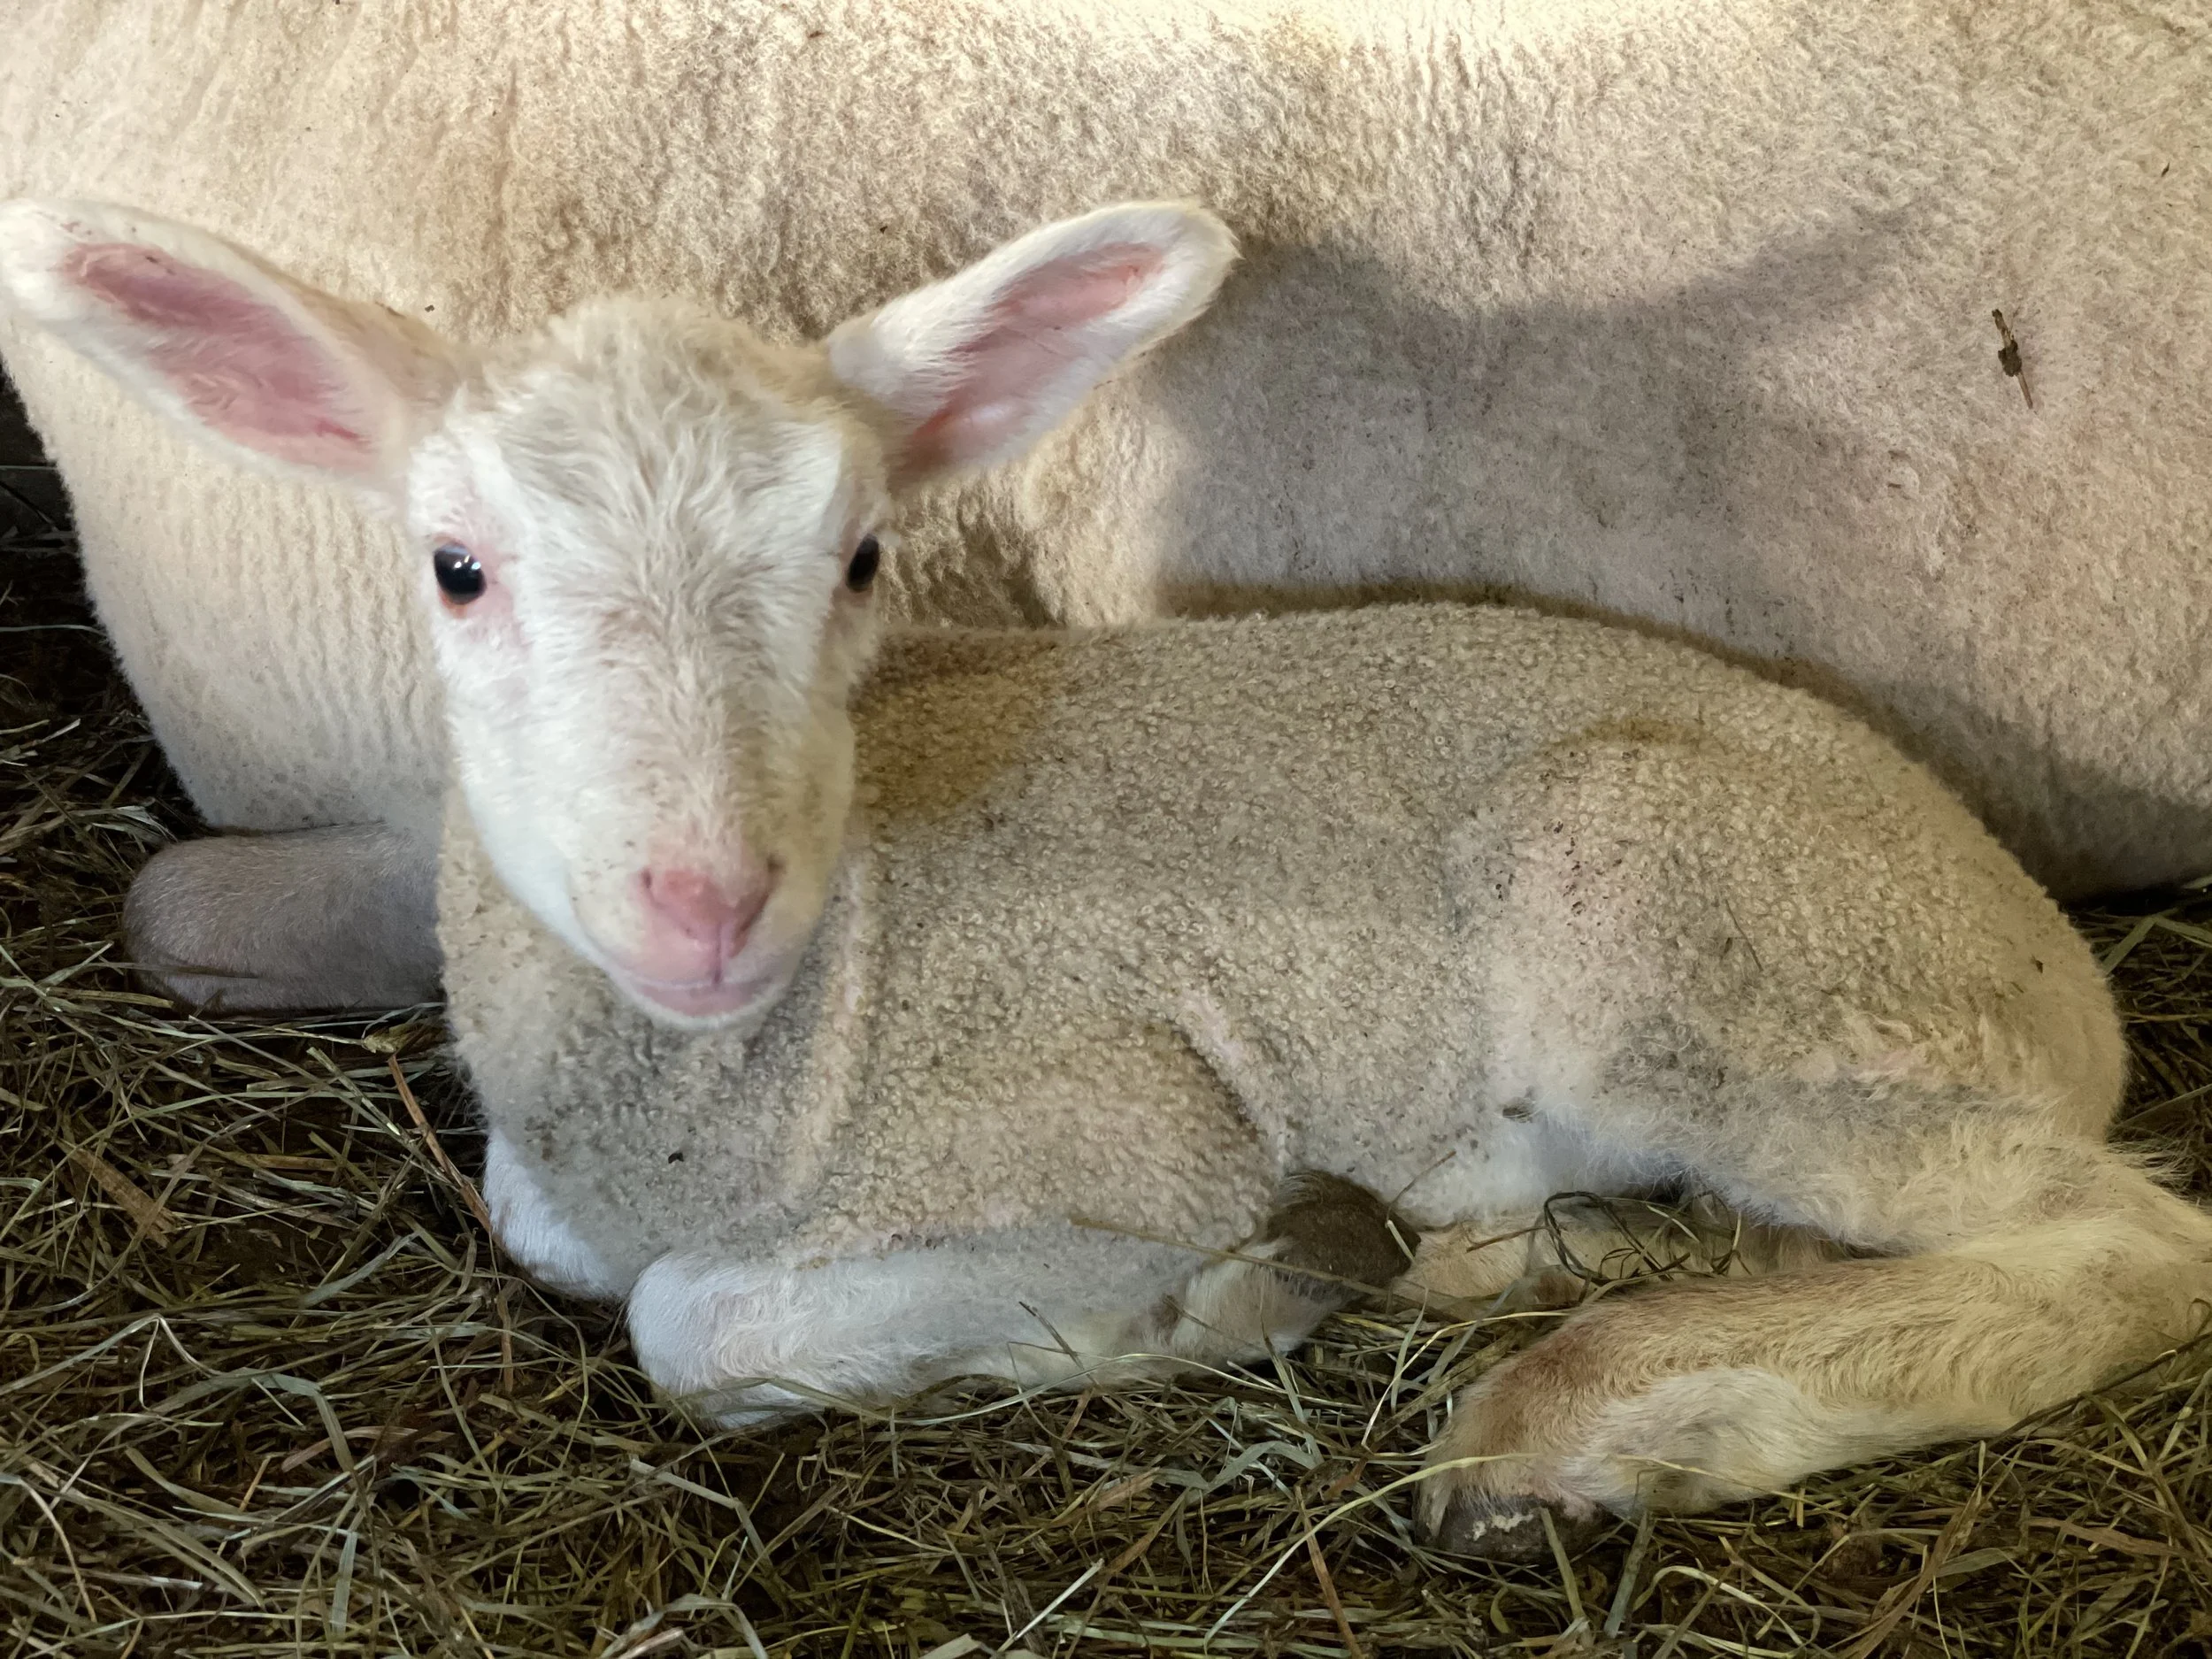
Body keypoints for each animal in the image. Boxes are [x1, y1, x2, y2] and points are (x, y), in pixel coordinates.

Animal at [440, 600, 2212, 1558]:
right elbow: (537, 1224)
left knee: (2136, 1248)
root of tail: (2066, 982)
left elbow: (691, 1325)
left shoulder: (1122, 1135)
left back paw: (1549, 1432)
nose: (682, 887)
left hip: (1672, 920)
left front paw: (1221, 1295)